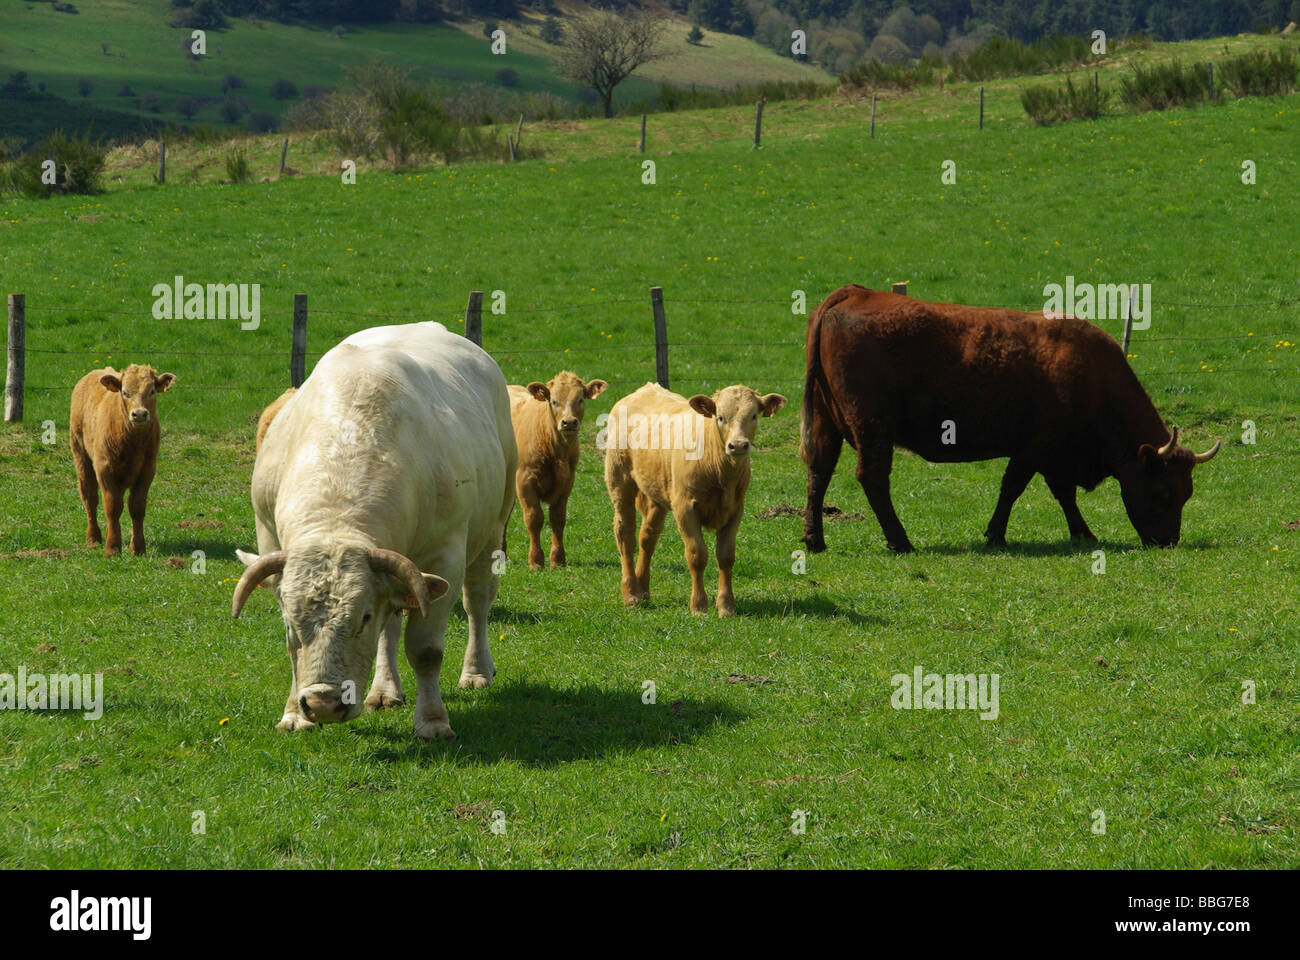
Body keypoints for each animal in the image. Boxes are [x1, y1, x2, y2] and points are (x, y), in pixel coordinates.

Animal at [69, 364, 177, 557]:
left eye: (152, 391)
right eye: (125, 392)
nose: (139, 414)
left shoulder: (148, 470)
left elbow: (136, 508)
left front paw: (138, 547)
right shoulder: (104, 468)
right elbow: (112, 507)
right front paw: (112, 547)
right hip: (80, 455)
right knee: (89, 497)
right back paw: (93, 538)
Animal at [231, 322, 516, 741]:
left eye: (363, 616)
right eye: (291, 620)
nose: (323, 704)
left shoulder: (444, 558)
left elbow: (426, 650)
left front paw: (433, 721)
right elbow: (297, 652)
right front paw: (295, 714)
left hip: (492, 530)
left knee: (477, 600)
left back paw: (477, 671)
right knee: (392, 628)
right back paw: (384, 691)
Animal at [506, 371, 607, 570]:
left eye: (580, 399)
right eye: (553, 401)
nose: (569, 422)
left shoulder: (567, 482)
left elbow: (558, 519)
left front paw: (558, 559)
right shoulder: (524, 480)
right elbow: (534, 518)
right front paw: (536, 560)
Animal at [604, 382, 786, 616]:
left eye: (753, 415)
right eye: (720, 417)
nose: (737, 445)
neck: (719, 469)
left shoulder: (736, 510)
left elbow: (726, 556)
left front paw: (726, 606)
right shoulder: (685, 508)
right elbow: (697, 555)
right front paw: (699, 606)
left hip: (657, 493)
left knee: (647, 537)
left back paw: (642, 589)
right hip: (620, 483)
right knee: (625, 535)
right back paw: (631, 594)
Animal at [799, 285, 1221, 554]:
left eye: (1187, 493)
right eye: (1163, 492)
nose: (1167, 542)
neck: (1091, 373)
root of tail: (857, 292)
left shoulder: (1053, 455)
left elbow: (1061, 494)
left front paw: (1082, 533)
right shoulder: (1036, 447)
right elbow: (1015, 488)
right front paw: (997, 535)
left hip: (826, 423)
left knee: (818, 475)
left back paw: (815, 540)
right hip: (873, 429)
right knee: (872, 478)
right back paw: (901, 541)